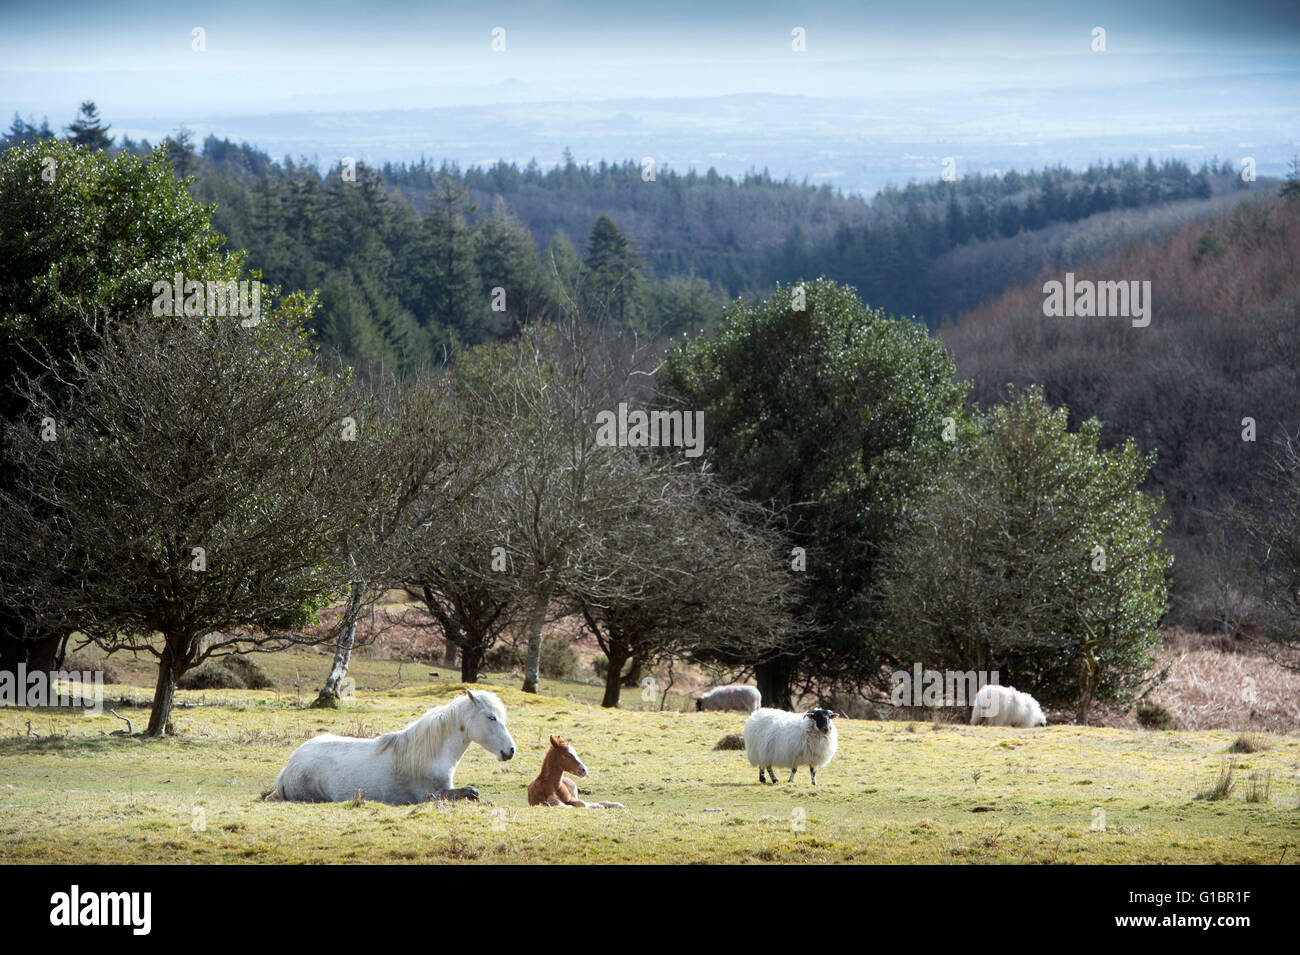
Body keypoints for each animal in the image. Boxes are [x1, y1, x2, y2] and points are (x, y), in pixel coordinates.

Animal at [266, 689, 515, 804]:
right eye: (491, 717)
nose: (510, 750)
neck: (429, 755)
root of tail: (289, 767)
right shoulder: (431, 795)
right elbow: (471, 792)